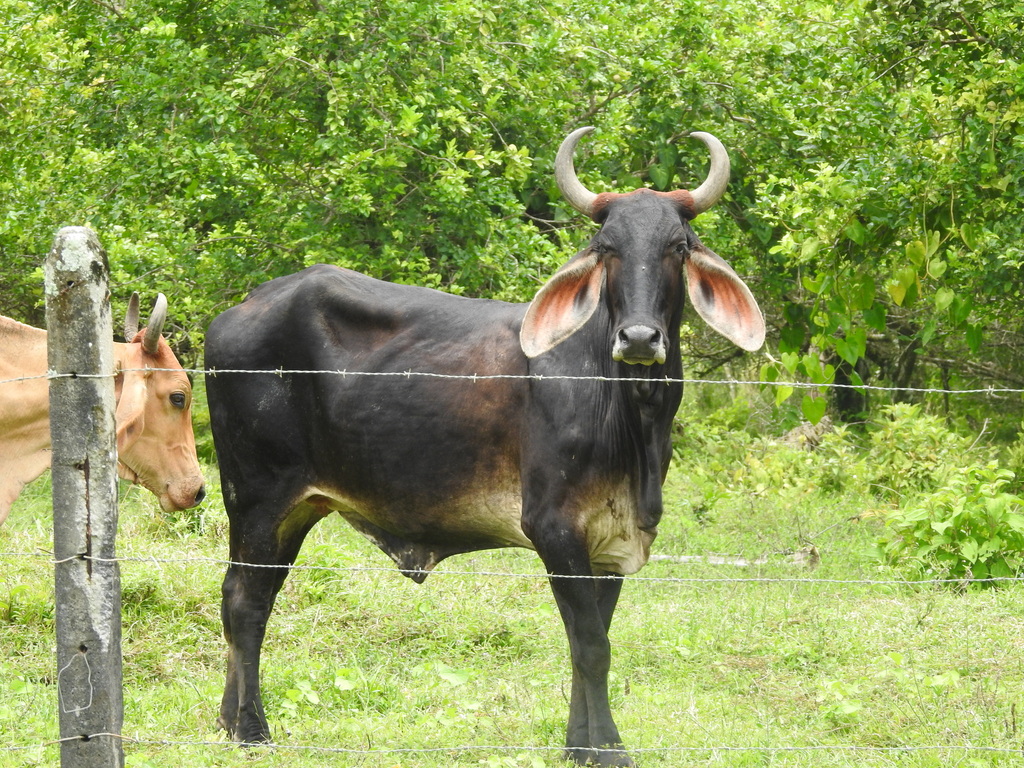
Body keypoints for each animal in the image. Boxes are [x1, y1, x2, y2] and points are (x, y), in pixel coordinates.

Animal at [205, 127, 765, 767]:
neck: (629, 410)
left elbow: (589, 642)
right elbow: (592, 647)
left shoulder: (609, 540)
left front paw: (580, 746)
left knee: (250, 597)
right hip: (257, 499)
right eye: (607, 247)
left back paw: (228, 723)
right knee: (244, 603)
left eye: (677, 245)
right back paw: (252, 729)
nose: (641, 338)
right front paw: (608, 750)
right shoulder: (553, 528)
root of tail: (236, 312)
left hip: (294, 510)